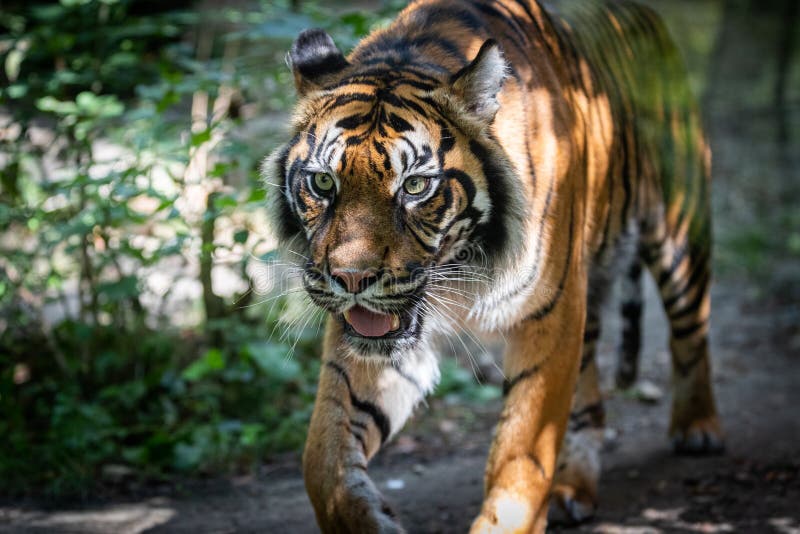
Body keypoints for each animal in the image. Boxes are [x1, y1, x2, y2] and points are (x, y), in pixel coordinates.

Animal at [262, 0, 723, 531]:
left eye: (415, 186)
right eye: (322, 182)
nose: (351, 279)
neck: (461, 266)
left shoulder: (550, 314)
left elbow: (522, 455)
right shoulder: (372, 336)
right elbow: (323, 460)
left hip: (679, 229)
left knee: (690, 331)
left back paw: (698, 427)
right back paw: (574, 487)